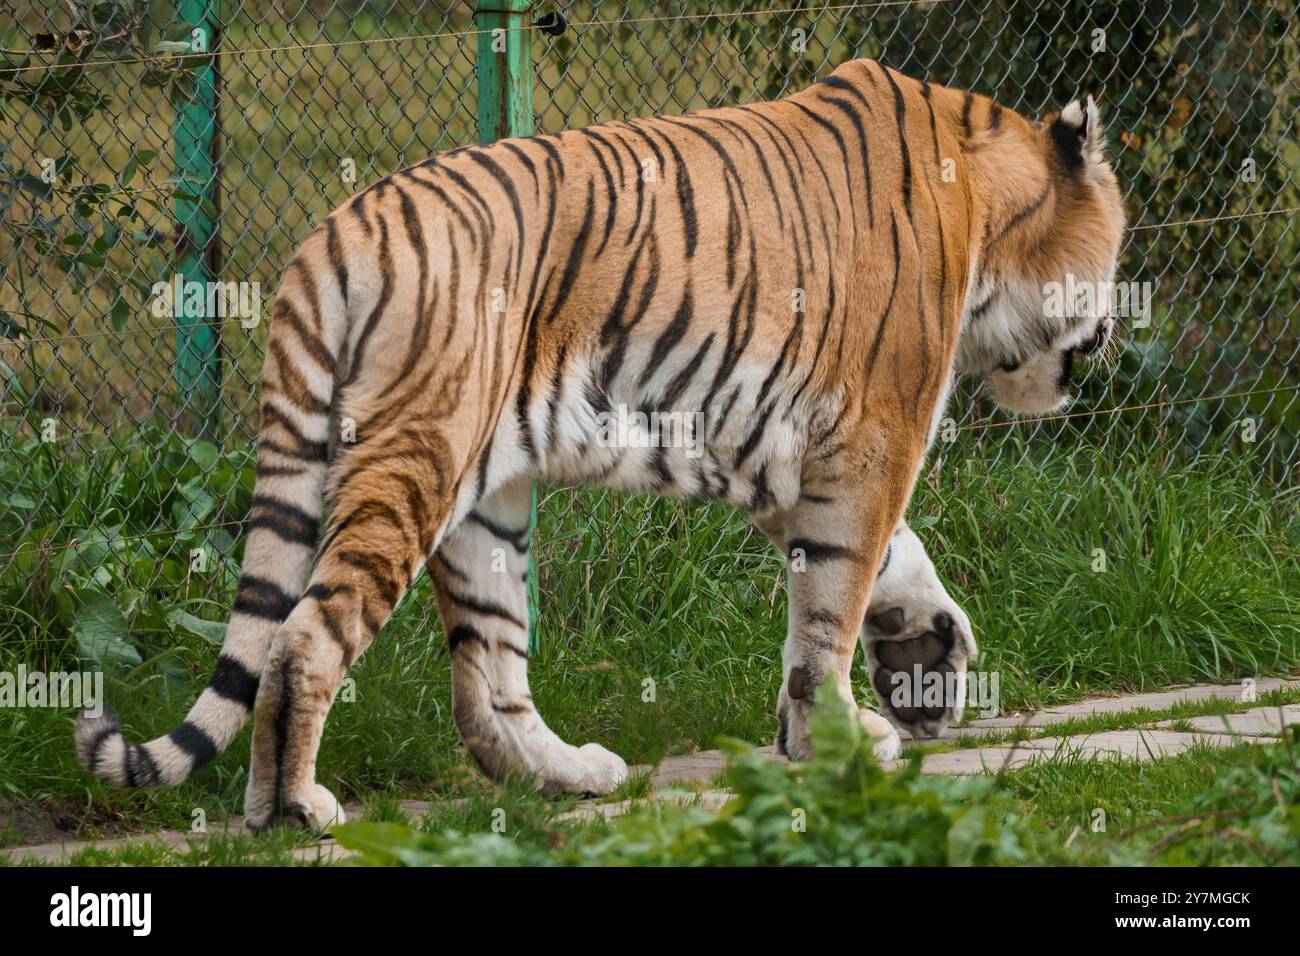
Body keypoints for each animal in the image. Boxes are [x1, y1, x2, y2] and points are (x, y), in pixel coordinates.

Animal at [76, 58, 1125, 831]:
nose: (1112, 335)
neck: (992, 215)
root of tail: (331, 234)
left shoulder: (789, 459)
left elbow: (875, 566)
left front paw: (919, 658)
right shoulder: (871, 438)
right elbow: (831, 603)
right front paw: (836, 735)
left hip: (488, 500)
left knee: (485, 677)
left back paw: (562, 775)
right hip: (418, 464)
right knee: (303, 640)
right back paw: (296, 811)